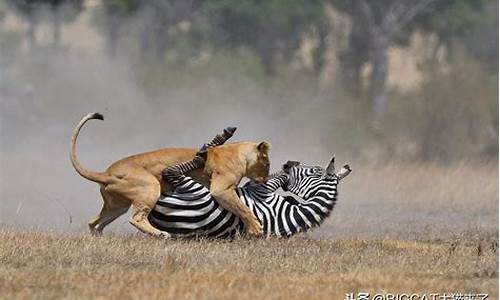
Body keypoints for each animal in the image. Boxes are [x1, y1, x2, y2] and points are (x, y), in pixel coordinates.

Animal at [70, 111, 270, 238]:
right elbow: (242, 208)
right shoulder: (221, 189)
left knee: (94, 222)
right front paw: (255, 228)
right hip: (150, 186)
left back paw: (98, 238)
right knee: (136, 218)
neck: (238, 152)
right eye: (267, 165)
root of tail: (106, 173)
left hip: (117, 206)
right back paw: (161, 234)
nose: (265, 179)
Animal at [148, 141, 352, 239]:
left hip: (197, 191)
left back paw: (206, 149)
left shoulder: (260, 191)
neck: (289, 215)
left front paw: (286, 172)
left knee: (171, 171)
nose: (288, 163)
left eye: (315, 171)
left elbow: (274, 180)